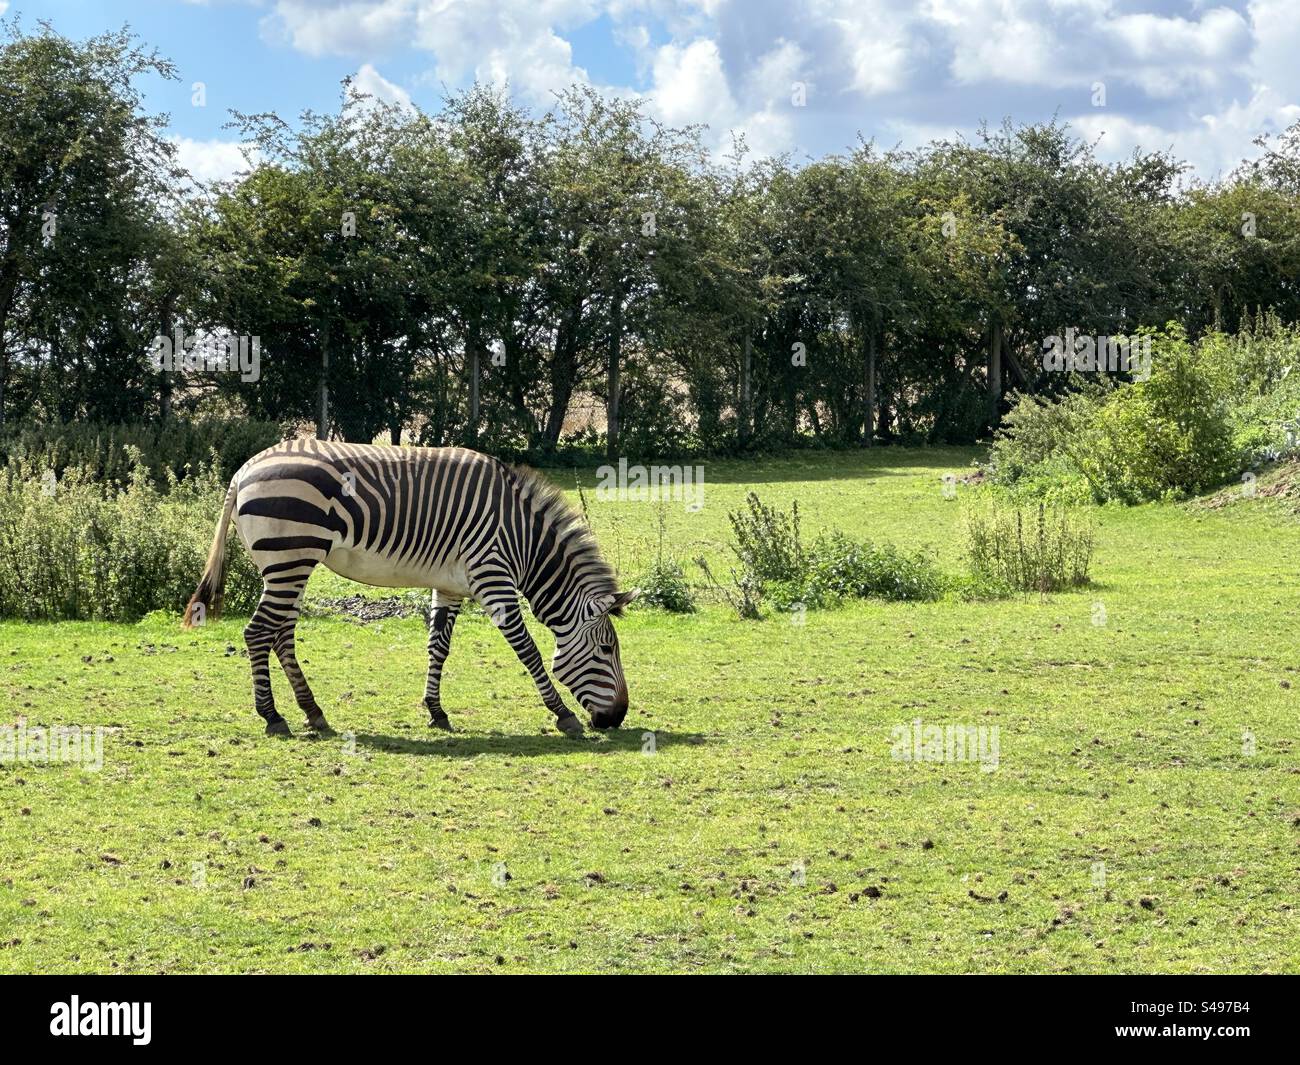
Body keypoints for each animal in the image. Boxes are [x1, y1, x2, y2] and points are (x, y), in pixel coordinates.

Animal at [182, 439, 637, 738]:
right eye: (607, 650)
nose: (617, 718)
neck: (522, 540)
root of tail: (243, 471)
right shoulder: (493, 577)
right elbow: (528, 650)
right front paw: (563, 715)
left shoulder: (451, 585)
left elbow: (438, 648)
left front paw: (436, 711)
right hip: (289, 558)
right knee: (258, 633)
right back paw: (273, 717)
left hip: (287, 566)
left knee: (280, 636)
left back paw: (314, 712)